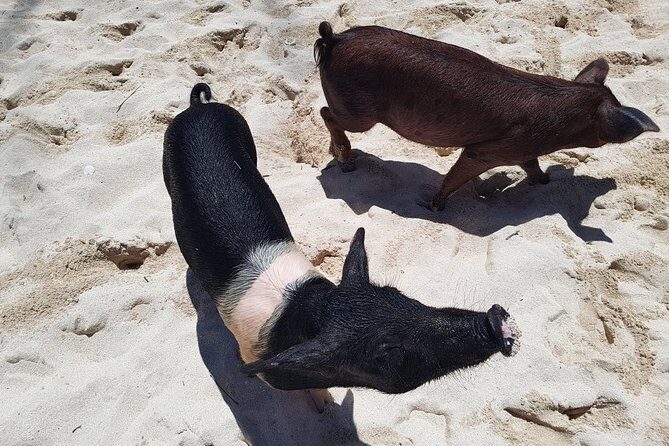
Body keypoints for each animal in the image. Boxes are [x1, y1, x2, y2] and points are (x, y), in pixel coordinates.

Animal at [163, 83, 520, 412]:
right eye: (388, 352)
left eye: (401, 296)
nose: (494, 319)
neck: (300, 307)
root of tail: (197, 107)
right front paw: (323, 411)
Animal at [314, 22, 660, 210]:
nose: (612, 184)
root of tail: (335, 38)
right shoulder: (488, 150)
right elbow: (457, 175)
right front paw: (435, 207)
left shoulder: (524, 150)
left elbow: (532, 166)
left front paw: (545, 182)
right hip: (359, 112)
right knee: (326, 112)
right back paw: (346, 162)